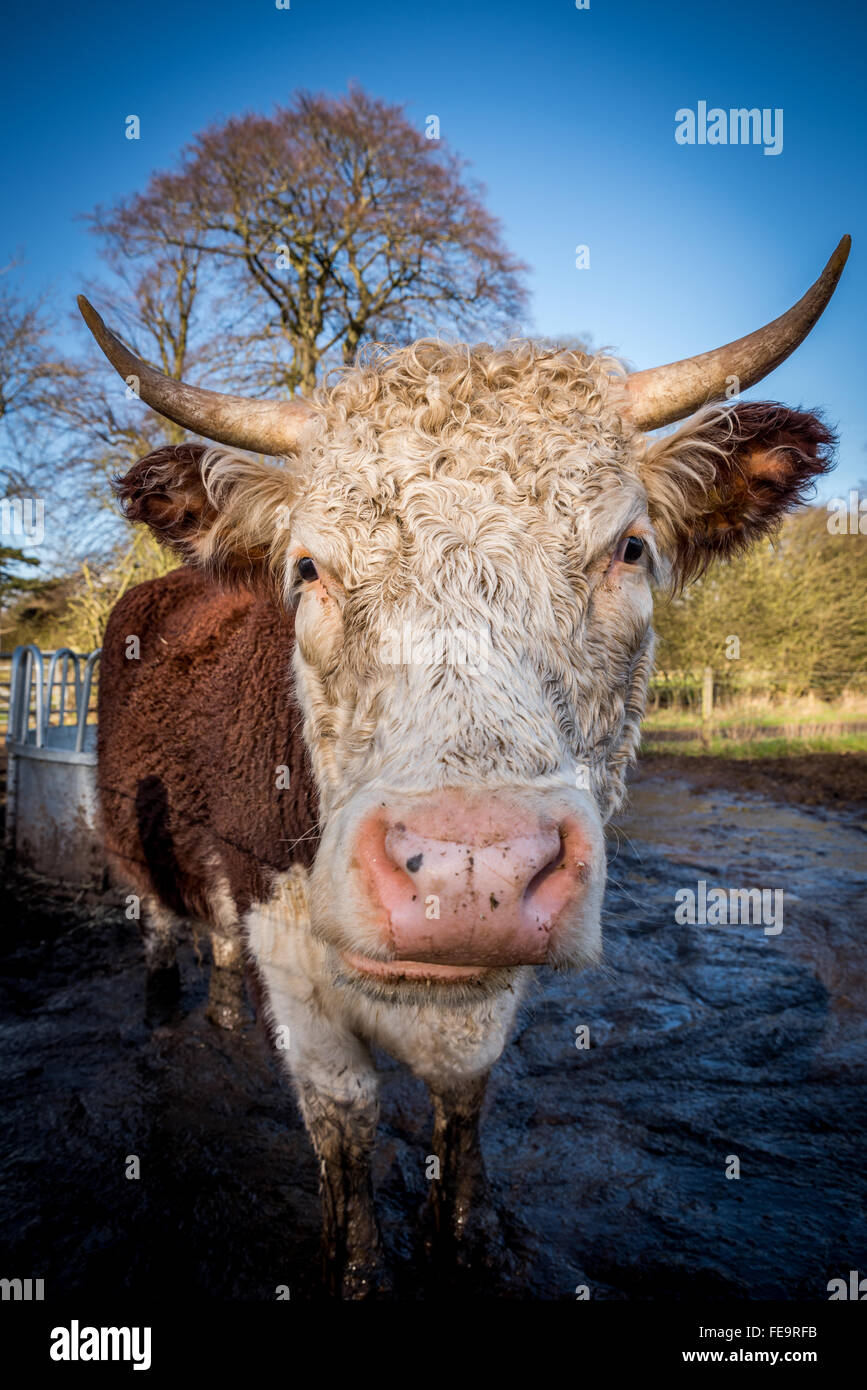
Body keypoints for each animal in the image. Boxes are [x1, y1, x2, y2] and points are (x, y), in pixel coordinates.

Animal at [80, 236, 849, 1297]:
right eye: (309, 568)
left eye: (628, 548)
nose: (467, 868)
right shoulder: (297, 971)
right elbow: (347, 1139)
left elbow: (461, 1115)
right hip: (146, 850)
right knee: (167, 933)